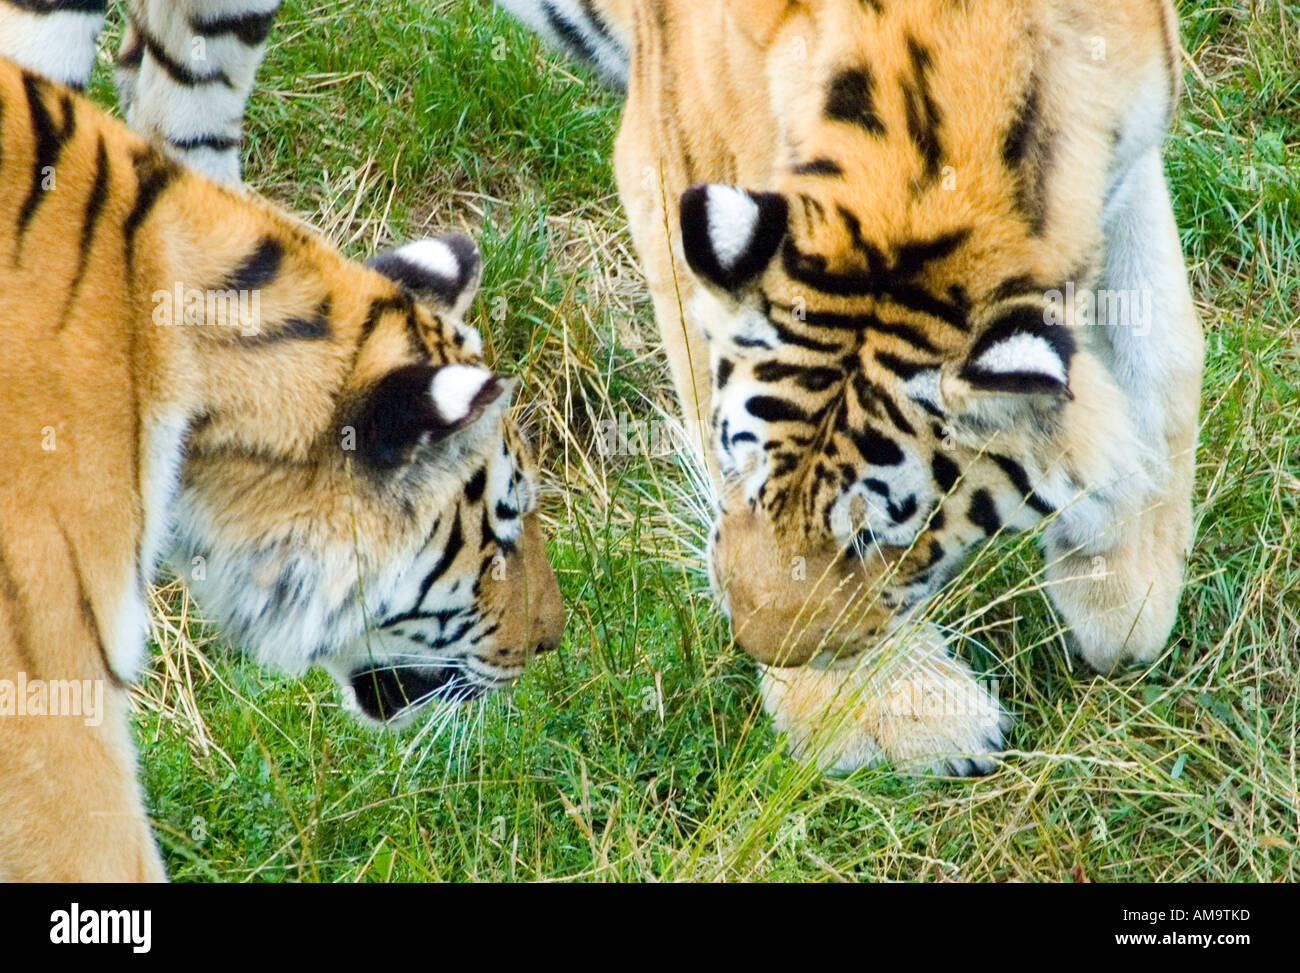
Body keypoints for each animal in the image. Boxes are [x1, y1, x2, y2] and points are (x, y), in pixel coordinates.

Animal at [492, 0, 1204, 775]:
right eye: (742, 472)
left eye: (876, 536)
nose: (760, 646)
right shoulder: (674, 154)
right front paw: (875, 709)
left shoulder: (1128, 156)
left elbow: (1163, 349)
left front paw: (1125, 591)